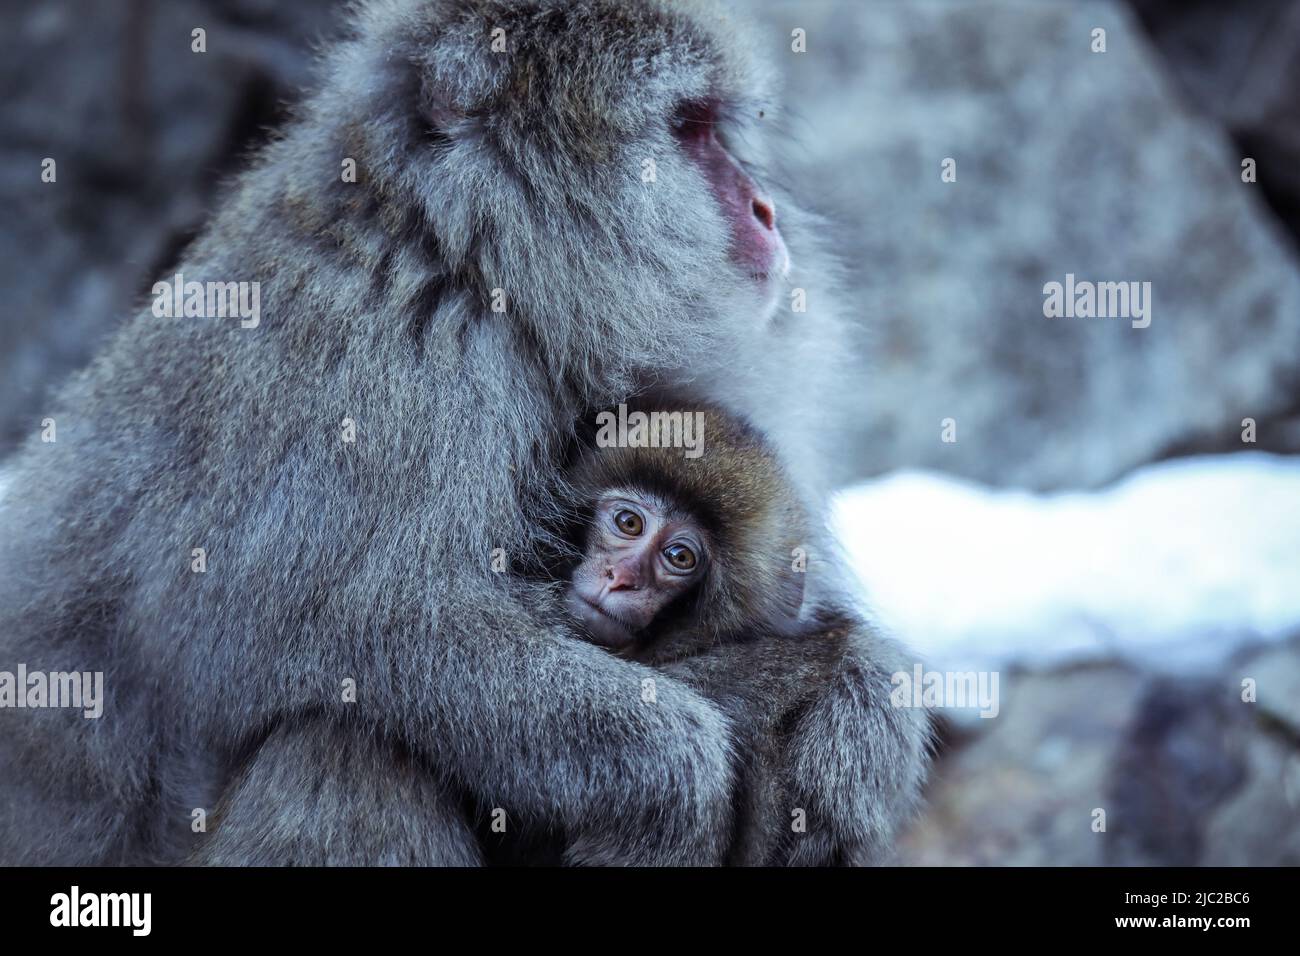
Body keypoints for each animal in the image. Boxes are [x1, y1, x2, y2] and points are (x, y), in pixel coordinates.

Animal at [0, 0, 928, 866]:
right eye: (689, 128)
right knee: (344, 746)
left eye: (713, 128)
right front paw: (683, 762)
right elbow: (327, 634)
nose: (765, 210)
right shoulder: (382, 373)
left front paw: (857, 697)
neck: (467, 261)